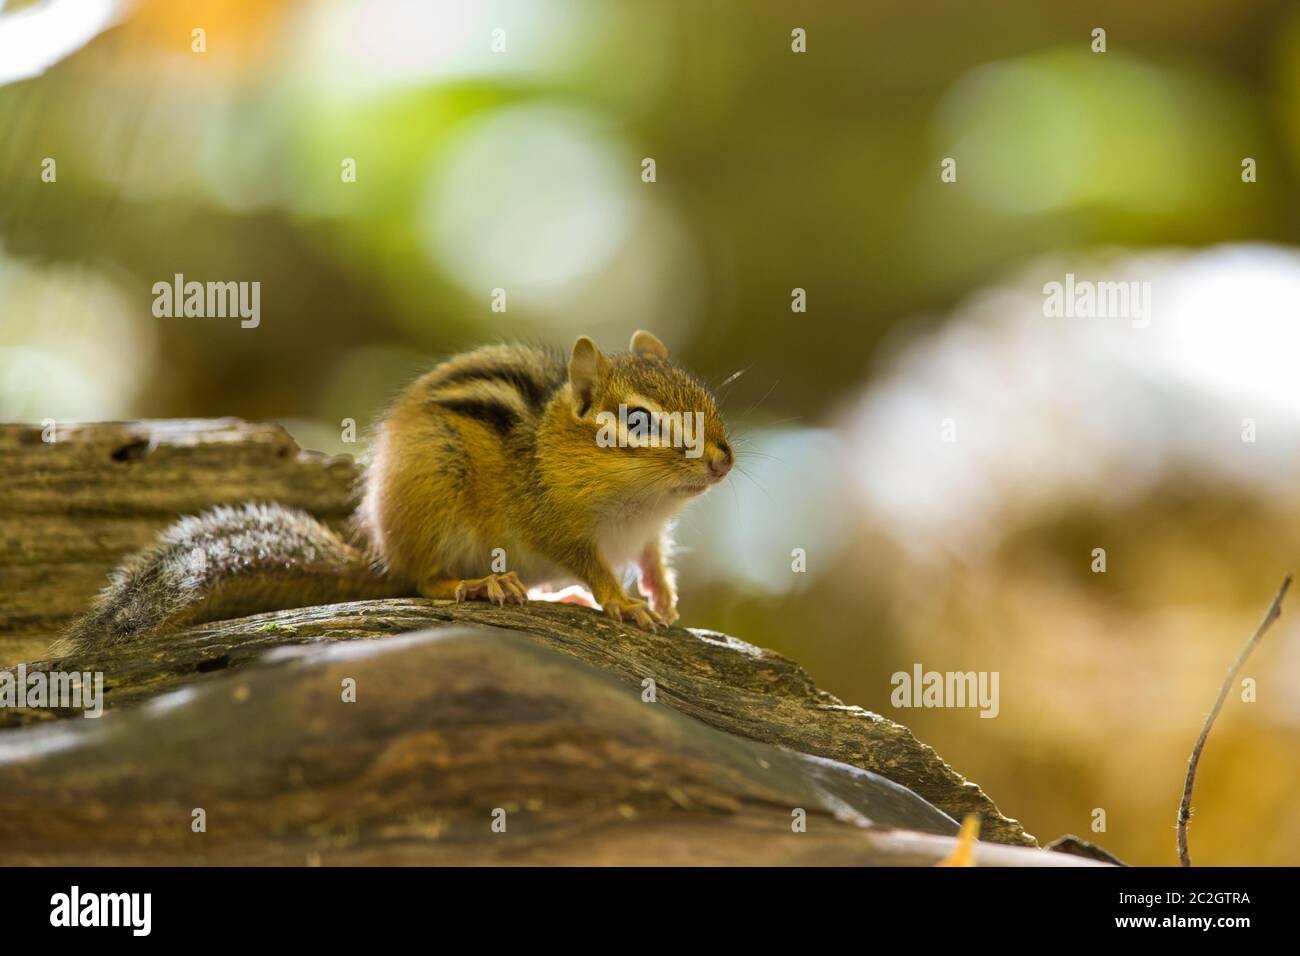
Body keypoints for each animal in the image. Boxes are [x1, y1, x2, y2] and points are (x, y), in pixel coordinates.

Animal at [56, 330, 734, 654]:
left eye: (709, 401)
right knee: (423, 582)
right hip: (435, 492)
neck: (643, 503)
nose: (723, 461)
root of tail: (381, 550)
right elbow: (591, 563)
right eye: (638, 421)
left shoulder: (647, 533)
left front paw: (663, 596)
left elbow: (651, 556)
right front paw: (619, 601)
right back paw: (479, 584)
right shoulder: (552, 523)